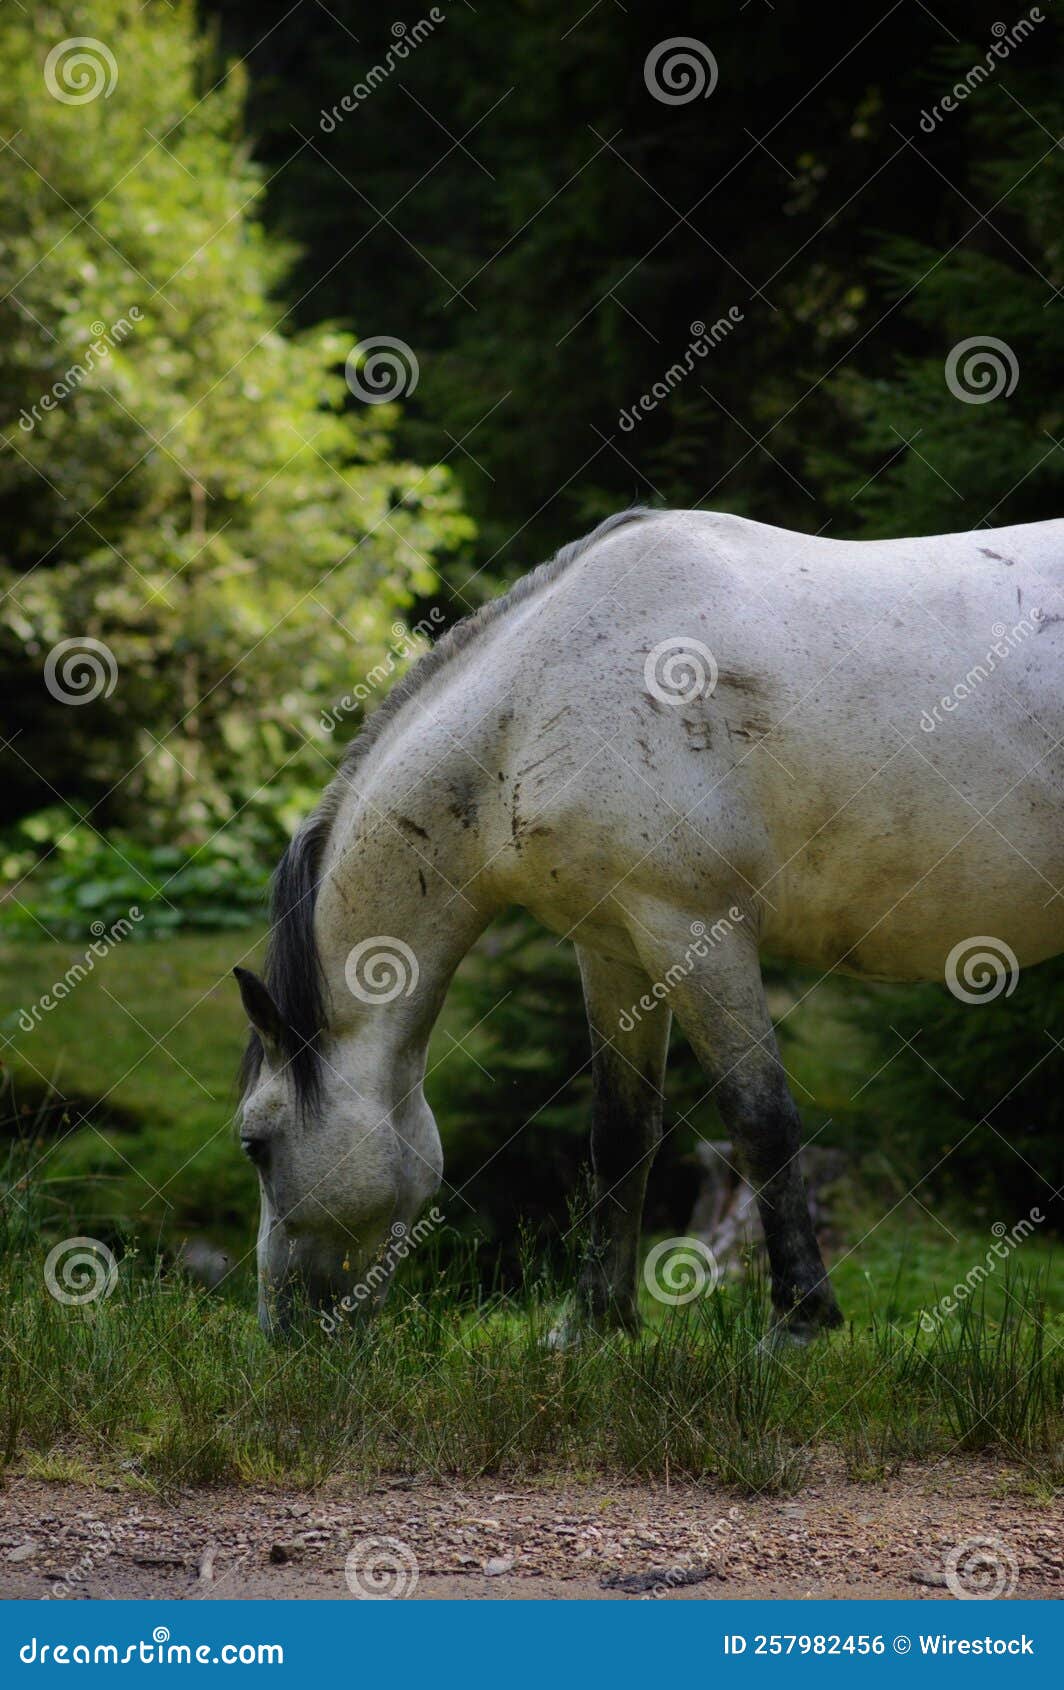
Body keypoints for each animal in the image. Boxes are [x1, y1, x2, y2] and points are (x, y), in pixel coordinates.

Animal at [235, 505, 1064, 1339]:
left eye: (255, 1146)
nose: (280, 1332)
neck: (531, 705)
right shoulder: (614, 949)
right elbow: (621, 1132)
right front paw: (592, 1325)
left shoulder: (695, 932)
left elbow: (761, 1119)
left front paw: (798, 1322)